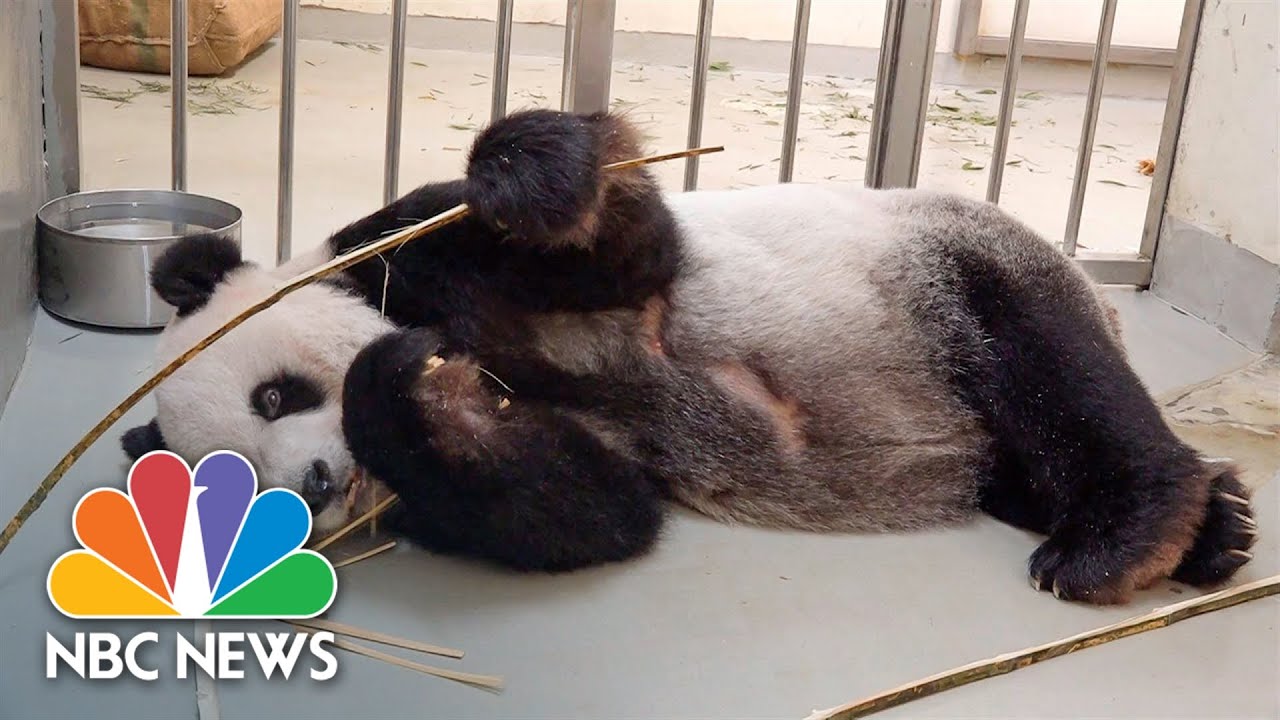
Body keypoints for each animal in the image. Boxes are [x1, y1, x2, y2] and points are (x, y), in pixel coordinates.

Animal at [121, 109, 1257, 605]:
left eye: (275, 395)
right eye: (238, 492)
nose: (318, 483)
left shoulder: (410, 253)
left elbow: (623, 247)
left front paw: (529, 175)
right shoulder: (510, 472)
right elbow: (584, 506)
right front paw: (413, 398)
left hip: (942, 270)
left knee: (1053, 369)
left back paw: (1130, 532)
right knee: (1023, 451)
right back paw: (1215, 527)